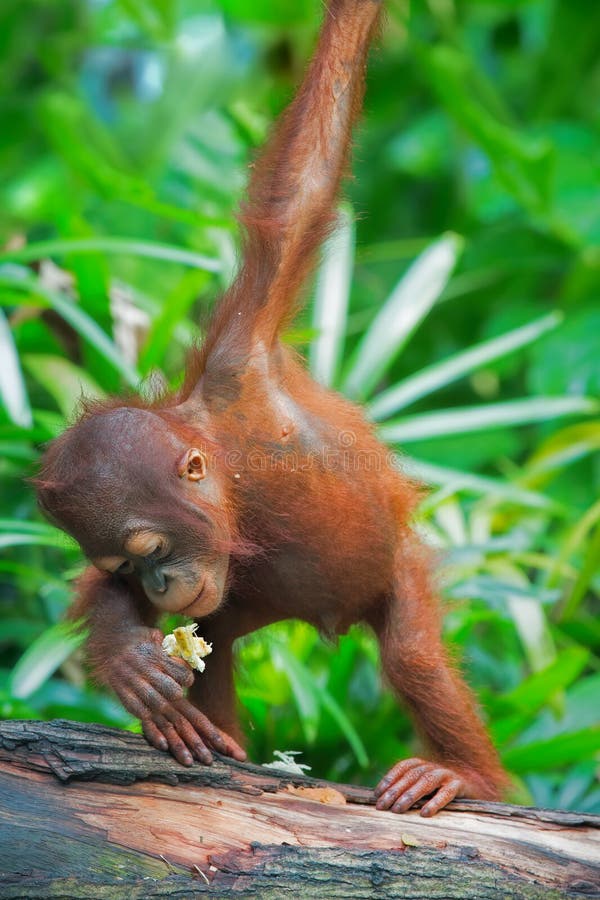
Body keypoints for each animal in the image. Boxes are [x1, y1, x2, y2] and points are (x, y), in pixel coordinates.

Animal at [36, 0, 507, 816]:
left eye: (151, 551)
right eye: (130, 565)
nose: (157, 585)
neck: (233, 476)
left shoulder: (241, 359)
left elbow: (300, 190)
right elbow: (99, 598)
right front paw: (130, 660)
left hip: (399, 568)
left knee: (413, 652)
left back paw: (463, 775)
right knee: (219, 649)